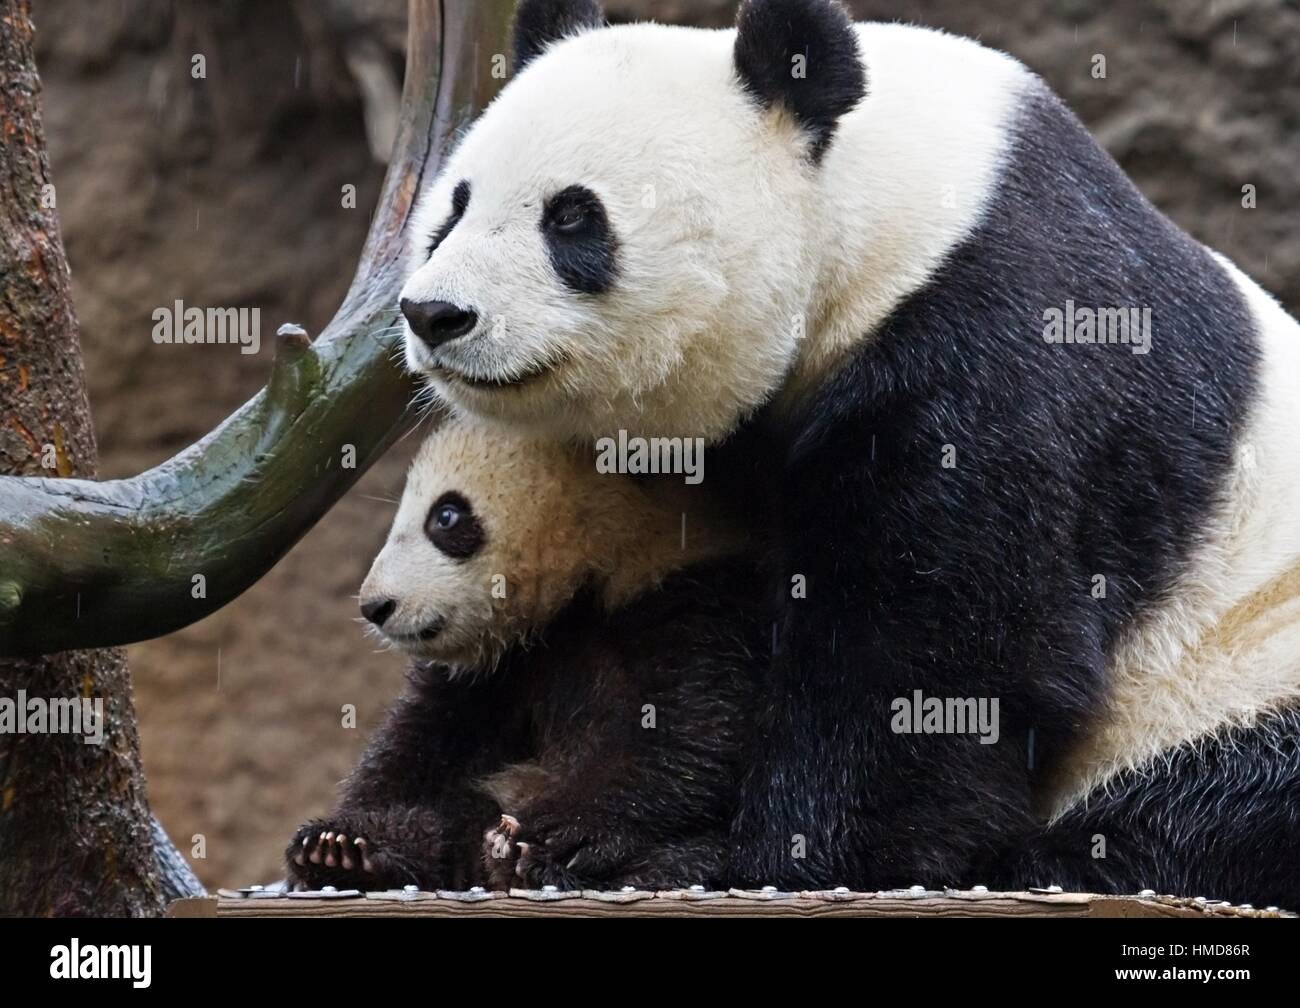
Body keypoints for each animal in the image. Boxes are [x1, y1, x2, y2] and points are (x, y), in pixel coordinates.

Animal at [285, 419, 766, 892]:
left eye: (446, 516)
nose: (376, 607)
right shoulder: (498, 666)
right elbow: (421, 740)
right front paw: (342, 839)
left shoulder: (689, 604)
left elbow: (685, 739)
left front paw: (554, 838)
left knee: (694, 858)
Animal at [395, 0, 1300, 902]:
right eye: (454, 207)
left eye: (572, 217)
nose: (436, 314)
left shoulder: (999, 345)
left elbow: (930, 645)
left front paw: (783, 857)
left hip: (1241, 663)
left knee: (1218, 799)